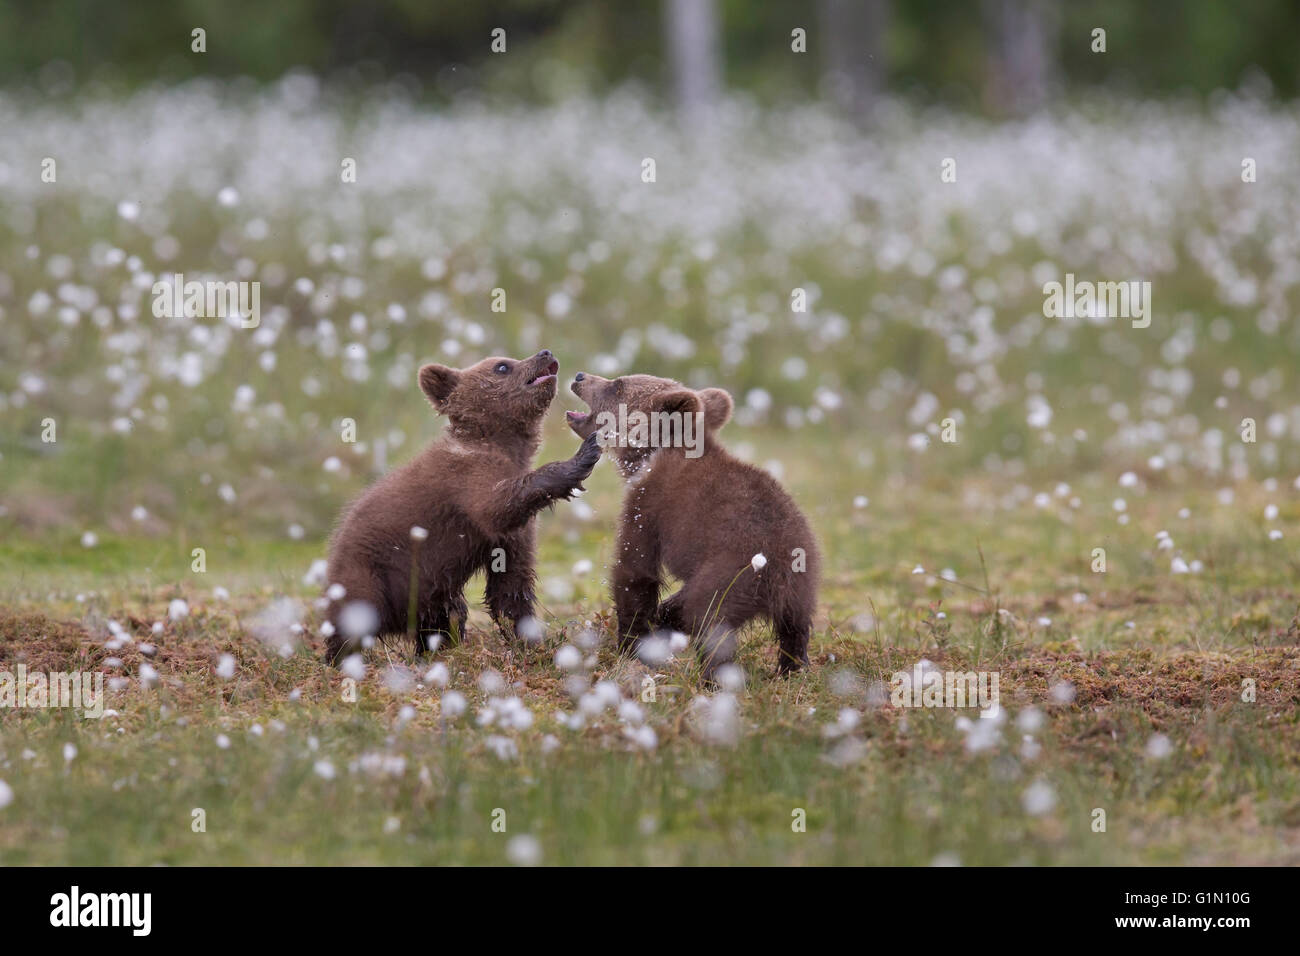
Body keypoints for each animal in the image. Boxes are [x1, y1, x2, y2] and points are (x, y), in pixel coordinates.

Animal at [322, 349, 600, 662]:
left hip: (431, 593)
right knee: (354, 616)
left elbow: (511, 587)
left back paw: (436, 649)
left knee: (445, 617)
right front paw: (584, 455)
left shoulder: (510, 538)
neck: (499, 443)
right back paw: (341, 658)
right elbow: (498, 507)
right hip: (369, 573)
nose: (545, 353)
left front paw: (530, 643)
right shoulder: (466, 481)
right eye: (502, 366)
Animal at [565, 370, 820, 678]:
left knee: (709, 619)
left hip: (729, 573)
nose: (580, 376)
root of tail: (782, 571)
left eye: (618, 386)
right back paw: (790, 669)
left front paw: (629, 645)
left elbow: (635, 571)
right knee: (794, 629)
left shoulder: (648, 504)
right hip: (803, 587)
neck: (649, 454)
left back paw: (712, 674)